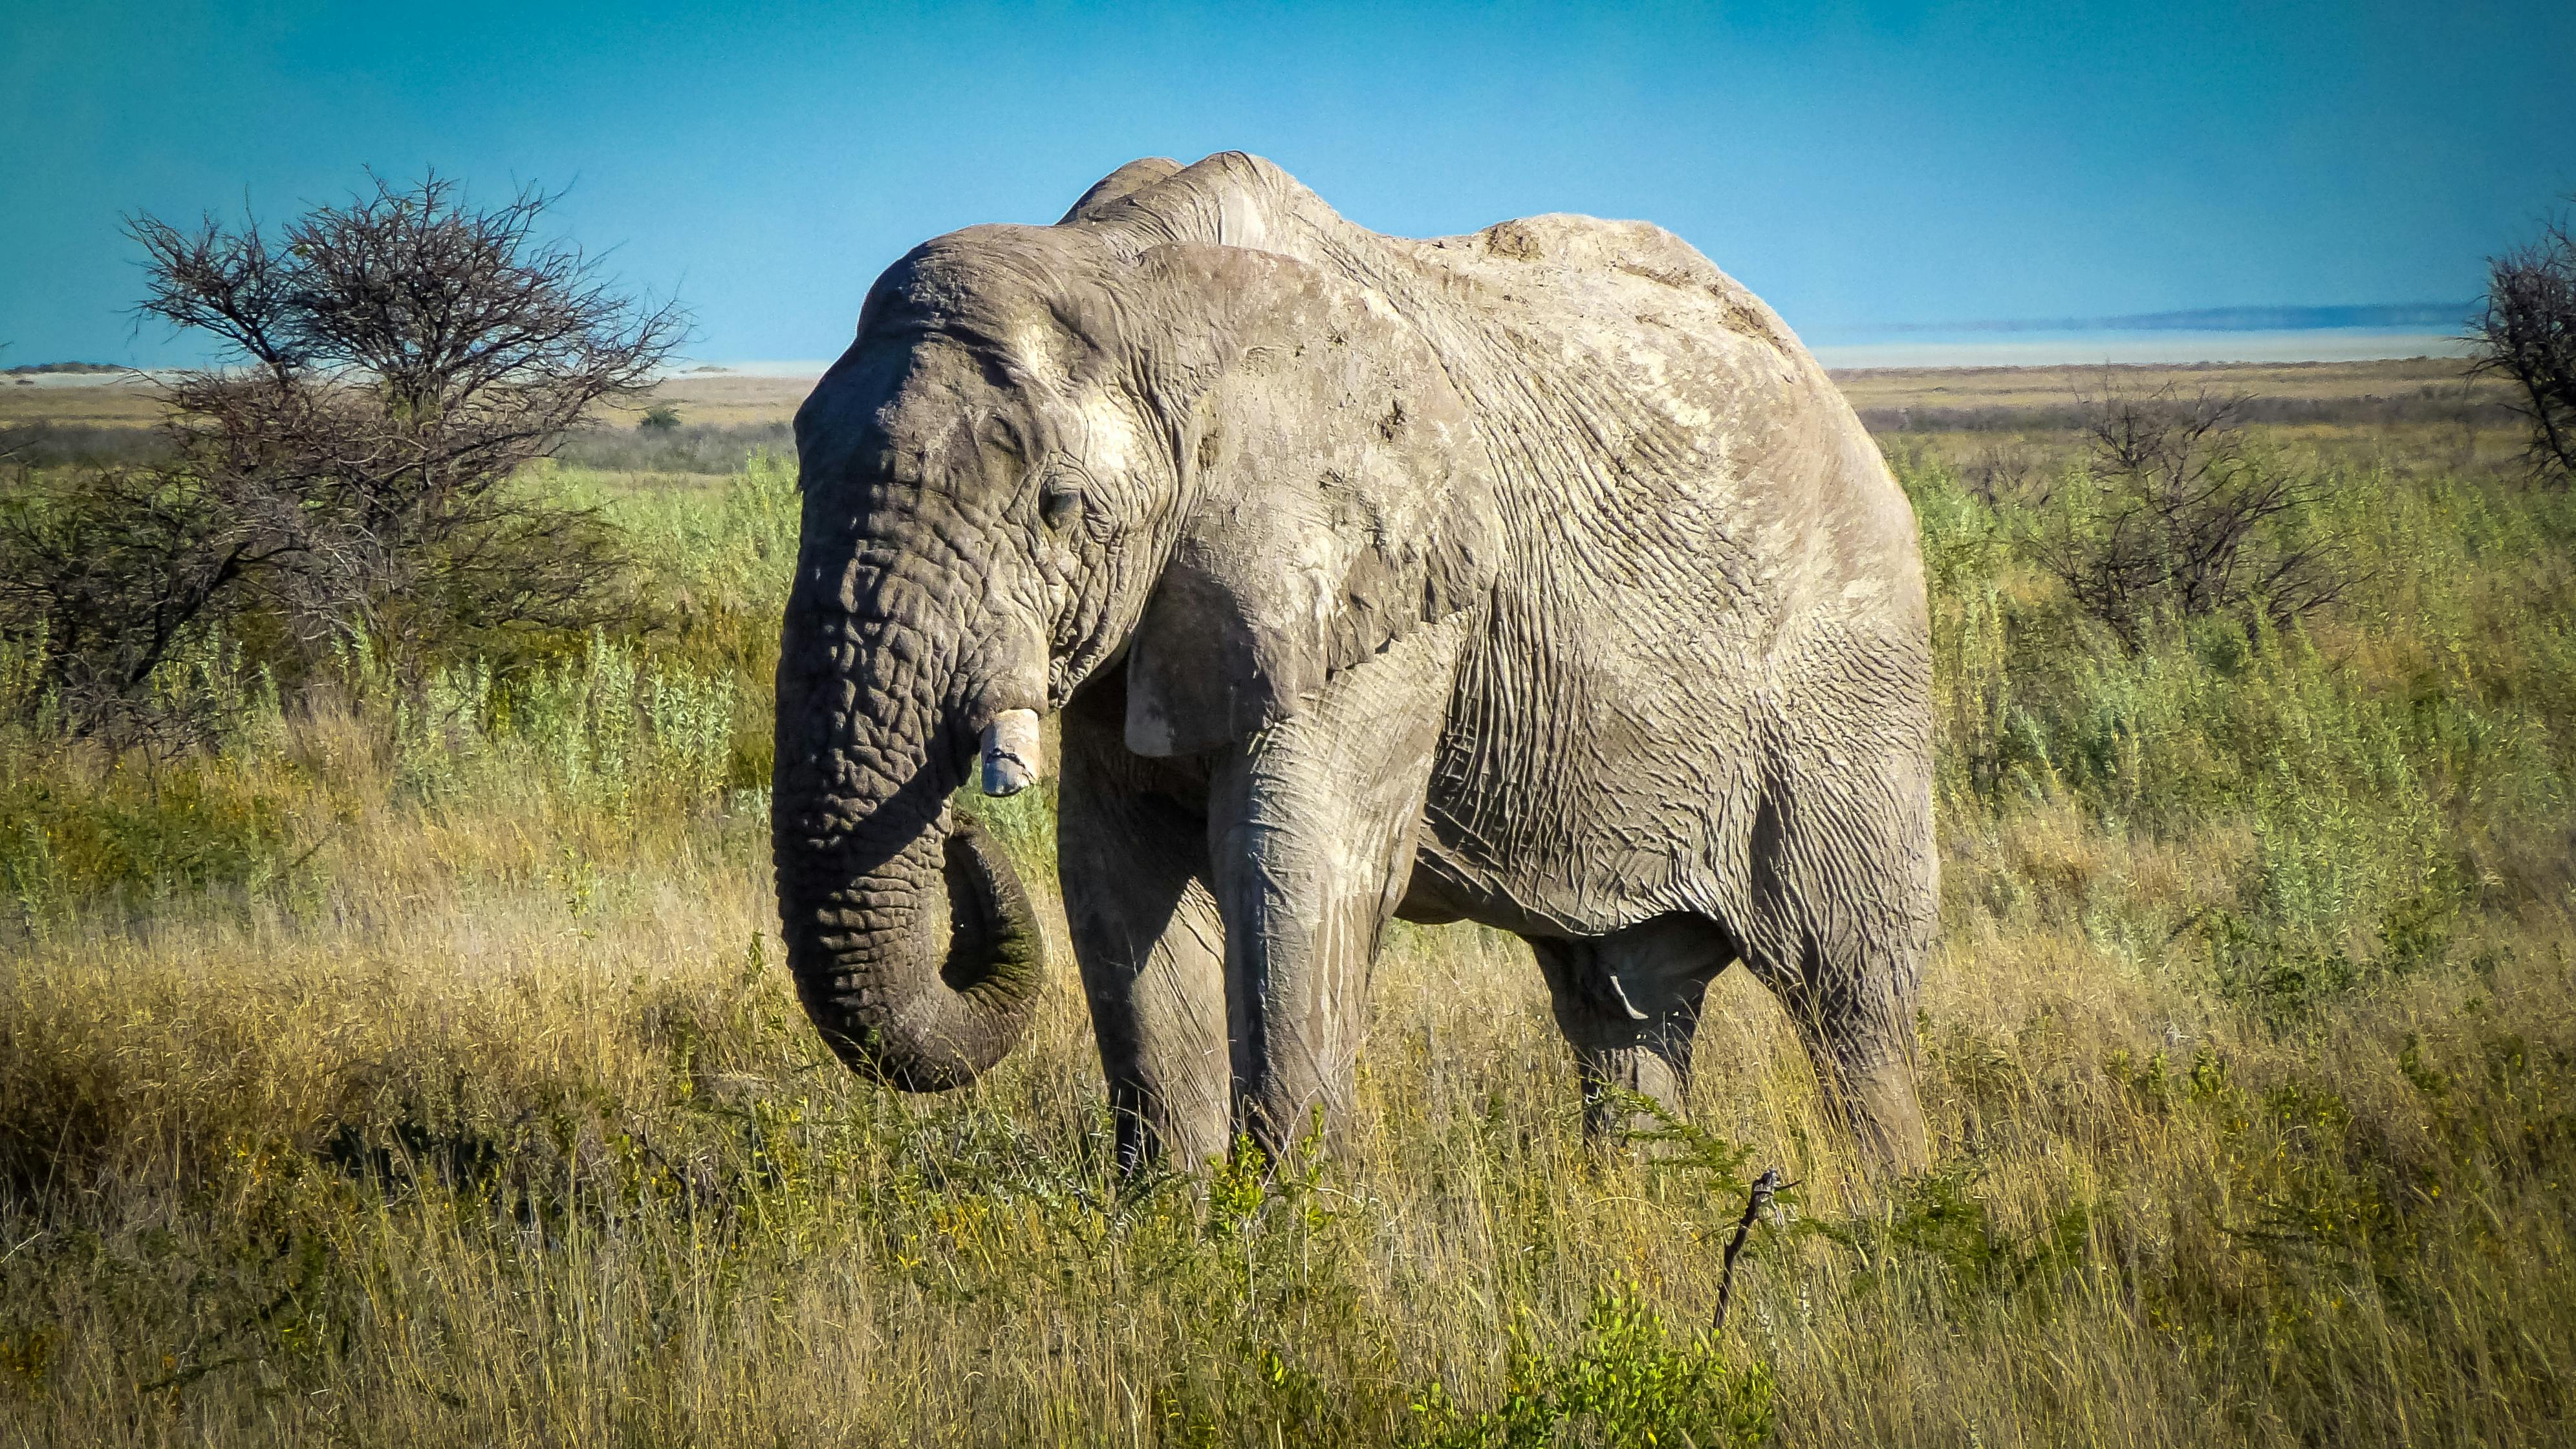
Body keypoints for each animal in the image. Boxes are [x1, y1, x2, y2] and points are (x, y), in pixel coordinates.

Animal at [774, 152, 1936, 1175]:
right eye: (799, 481)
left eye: (1059, 504)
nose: (959, 834)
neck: (1142, 277)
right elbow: (1113, 881)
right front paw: (1168, 1227)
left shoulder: (1393, 595)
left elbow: (1293, 868)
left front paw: (1301, 1241)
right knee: (1620, 1006)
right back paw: (1644, 1212)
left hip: (1847, 682)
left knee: (1848, 995)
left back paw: (1886, 1221)